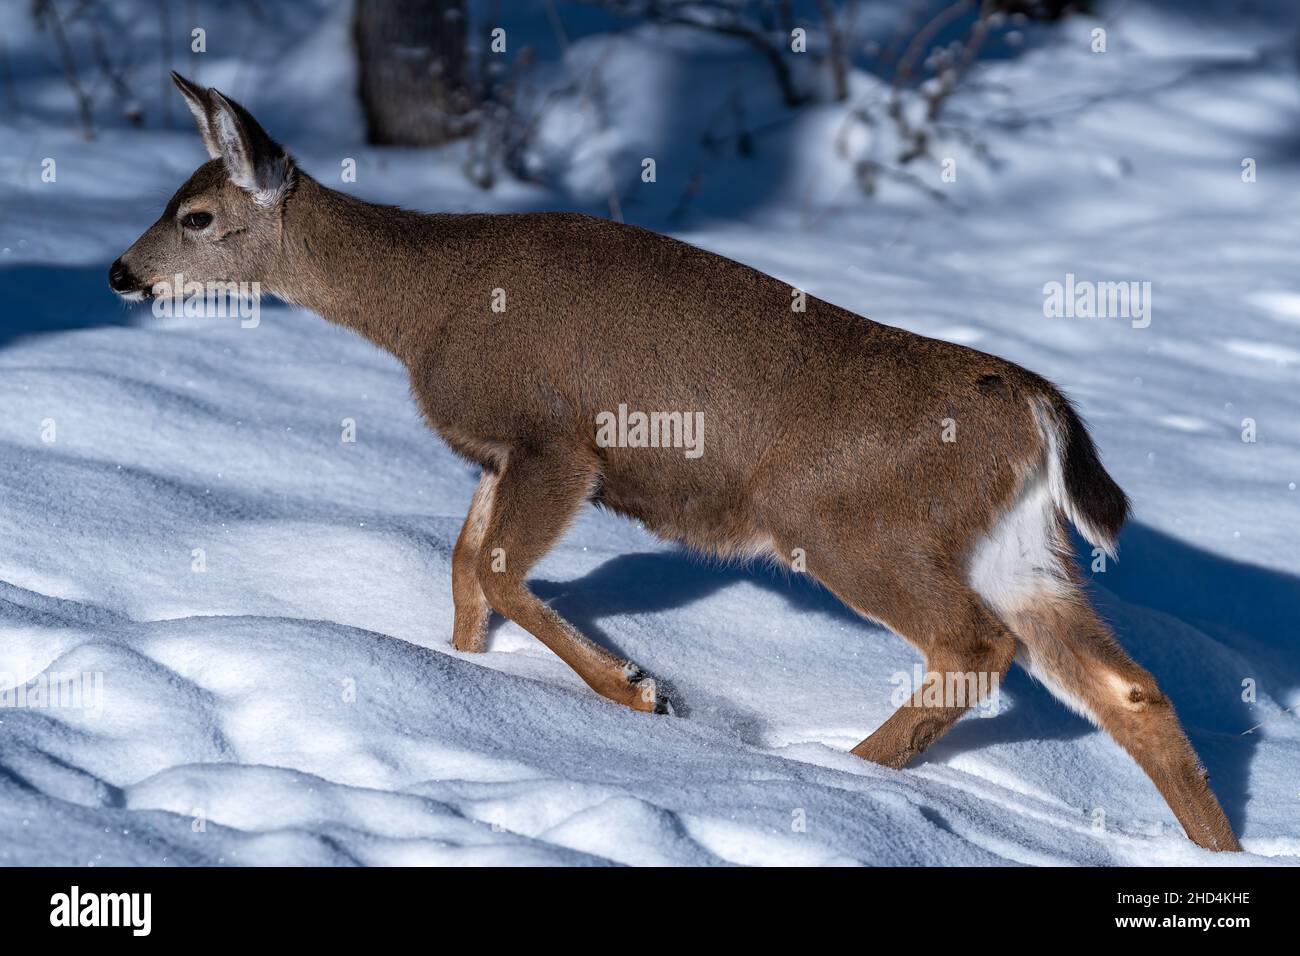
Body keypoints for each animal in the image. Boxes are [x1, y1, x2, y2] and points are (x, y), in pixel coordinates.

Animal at [108, 73, 1241, 852]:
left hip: (853, 528)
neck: (421, 305)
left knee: (974, 646)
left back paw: (842, 772)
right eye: (168, 199)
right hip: (1021, 549)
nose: (119, 272)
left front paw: (640, 693)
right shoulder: (501, 450)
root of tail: (1041, 410)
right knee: (1129, 687)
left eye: (197, 216)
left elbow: (499, 572)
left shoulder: (559, 438)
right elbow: (464, 568)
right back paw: (1215, 847)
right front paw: (461, 679)